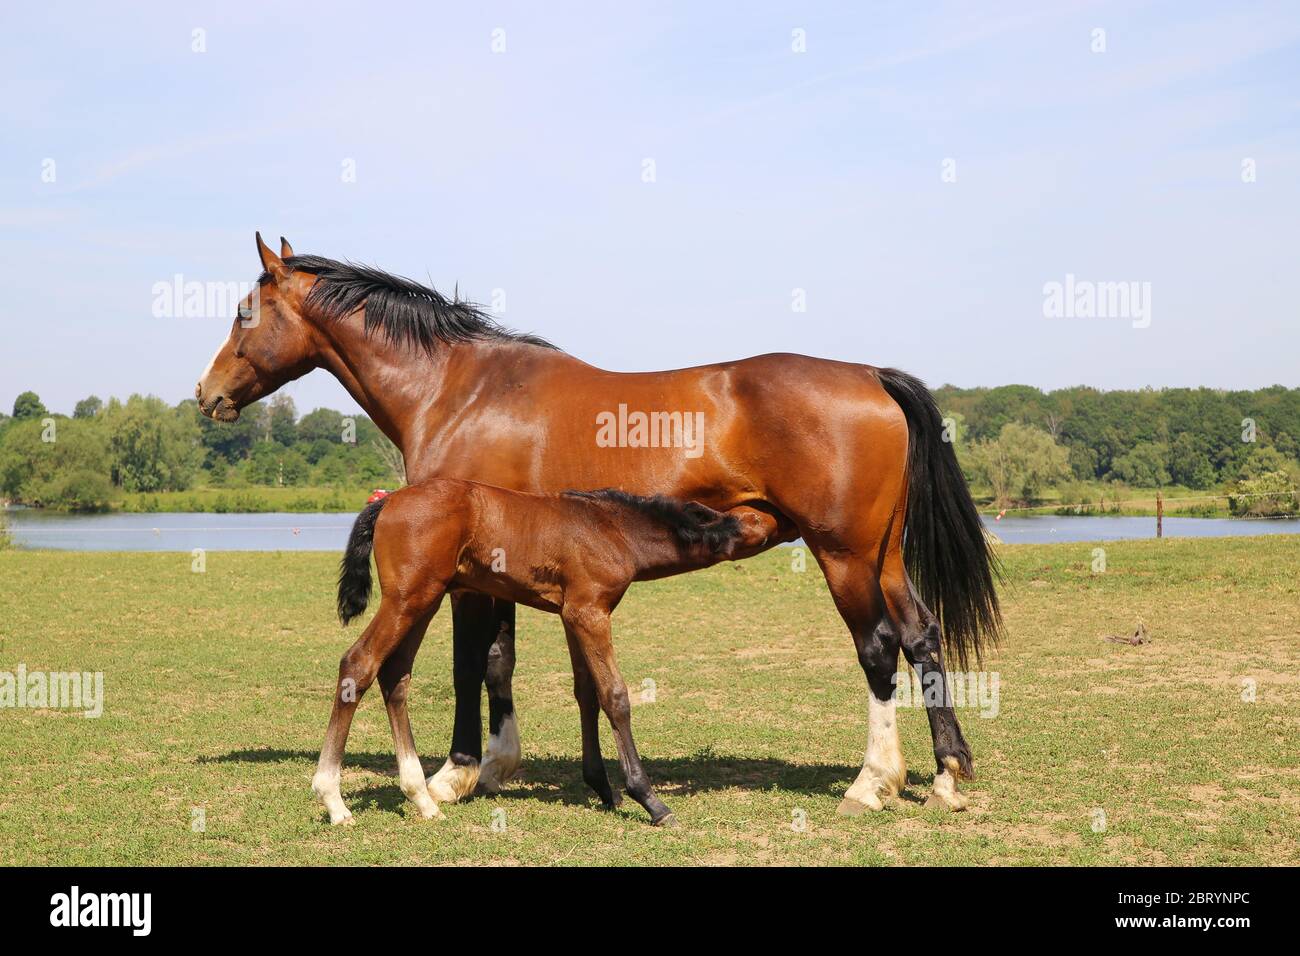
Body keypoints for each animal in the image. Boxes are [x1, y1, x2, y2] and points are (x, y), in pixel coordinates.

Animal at [317, 481, 772, 825]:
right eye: (747, 518)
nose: (771, 515)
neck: (613, 529)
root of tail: (387, 501)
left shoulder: (575, 614)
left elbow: (587, 693)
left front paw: (603, 788)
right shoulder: (590, 613)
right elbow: (615, 696)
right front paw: (649, 799)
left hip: (423, 599)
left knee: (395, 675)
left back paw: (422, 799)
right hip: (406, 598)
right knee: (358, 664)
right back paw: (333, 800)